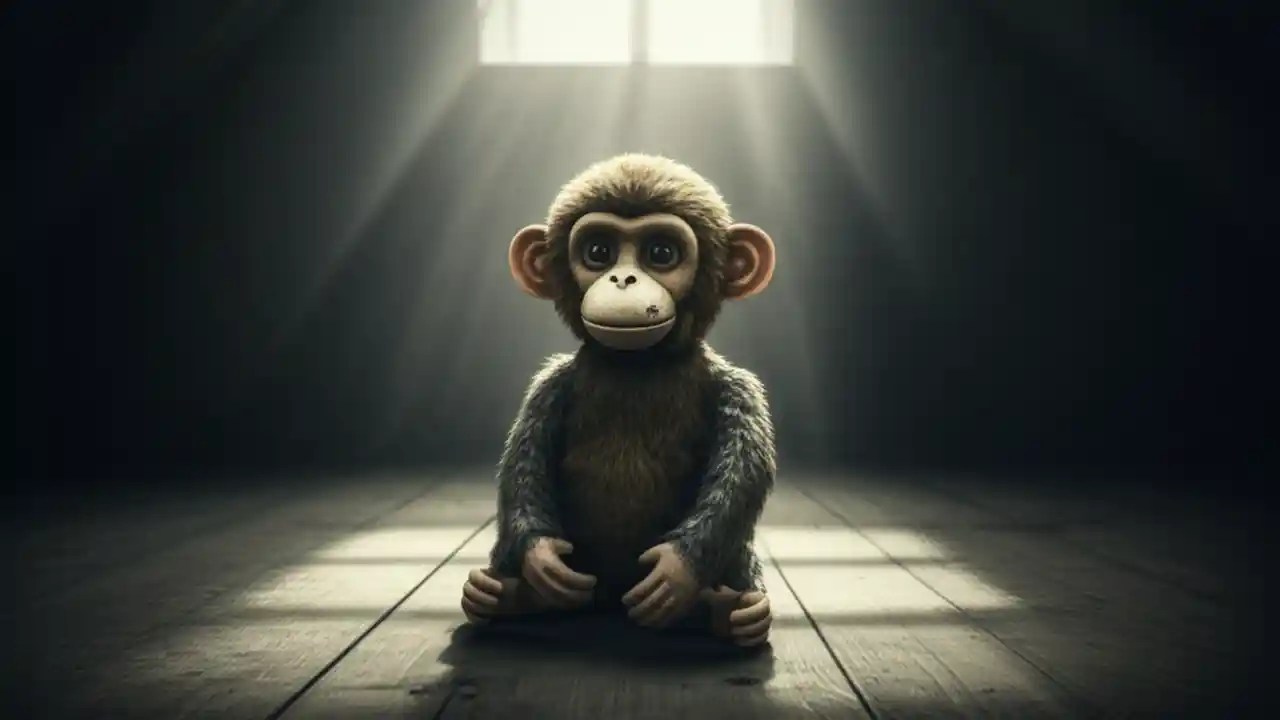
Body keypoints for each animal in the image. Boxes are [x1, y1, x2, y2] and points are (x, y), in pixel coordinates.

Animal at [460, 154, 777, 647]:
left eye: (661, 254)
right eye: (598, 252)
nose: (623, 278)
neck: (637, 365)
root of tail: (610, 596)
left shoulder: (738, 388)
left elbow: (742, 471)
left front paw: (675, 571)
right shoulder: (549, 386)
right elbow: (522, 464)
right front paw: (542, 562)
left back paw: (734, 611)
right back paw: (504, 595)